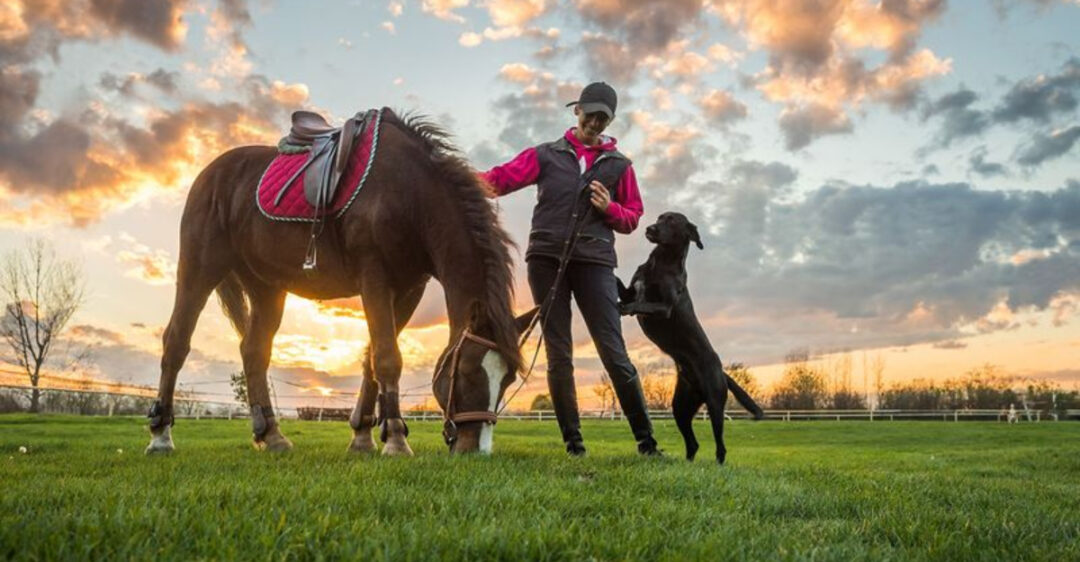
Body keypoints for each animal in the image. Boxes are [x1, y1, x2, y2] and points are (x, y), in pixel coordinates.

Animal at [144, 108, 536, 455]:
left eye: (508, 379)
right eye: (468, 370)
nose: (476, 449)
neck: (410, 194)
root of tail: (211, 173)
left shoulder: (408, 290)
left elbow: (370, 360)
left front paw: (363, 437)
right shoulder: (374, 279)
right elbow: (388, 357)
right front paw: (395, 440)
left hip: (266, 288)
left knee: (254, 352)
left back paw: (272, 435)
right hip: (199, 269)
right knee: (176, 342)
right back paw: (161, 436)